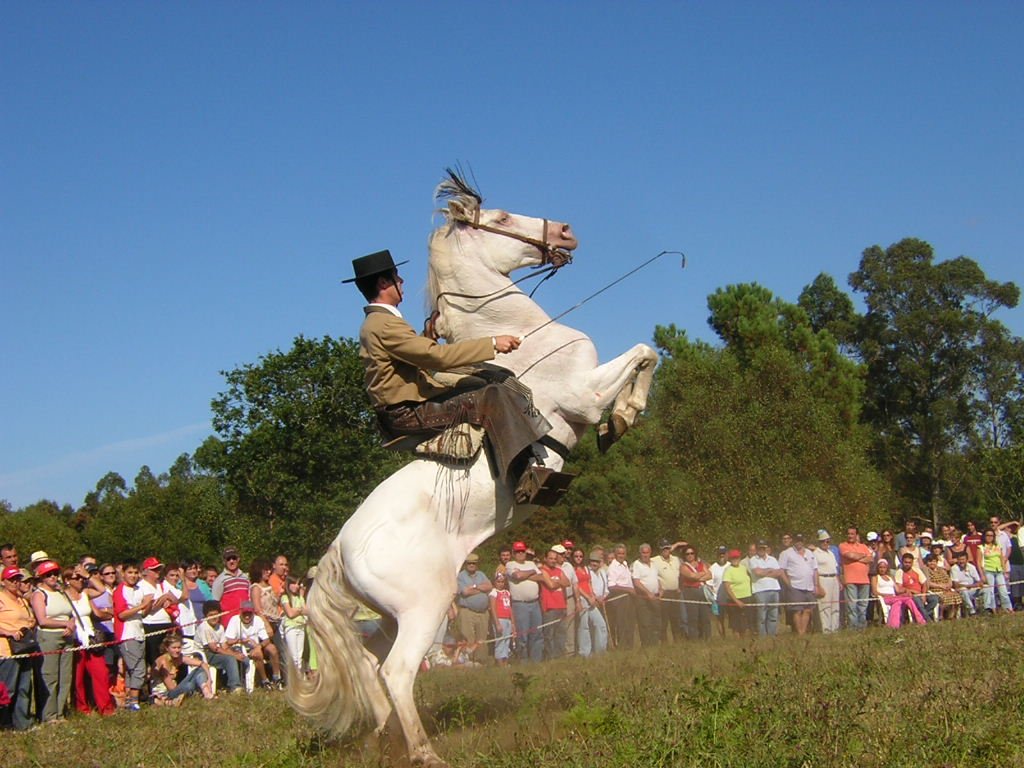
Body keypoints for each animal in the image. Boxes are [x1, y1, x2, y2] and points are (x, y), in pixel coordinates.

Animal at [288, 171, 658, 767]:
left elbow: (648, 354)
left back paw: (379, 738)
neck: (525, 344)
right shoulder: (584, 393)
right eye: (502, 218)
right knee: (396, 672)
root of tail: (338, 552)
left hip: (386, 617)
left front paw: (624, 417)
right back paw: (423, 752)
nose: (566, 230)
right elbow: (645, 353)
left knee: (369, 665)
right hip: (425, 609)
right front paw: (622, 418)